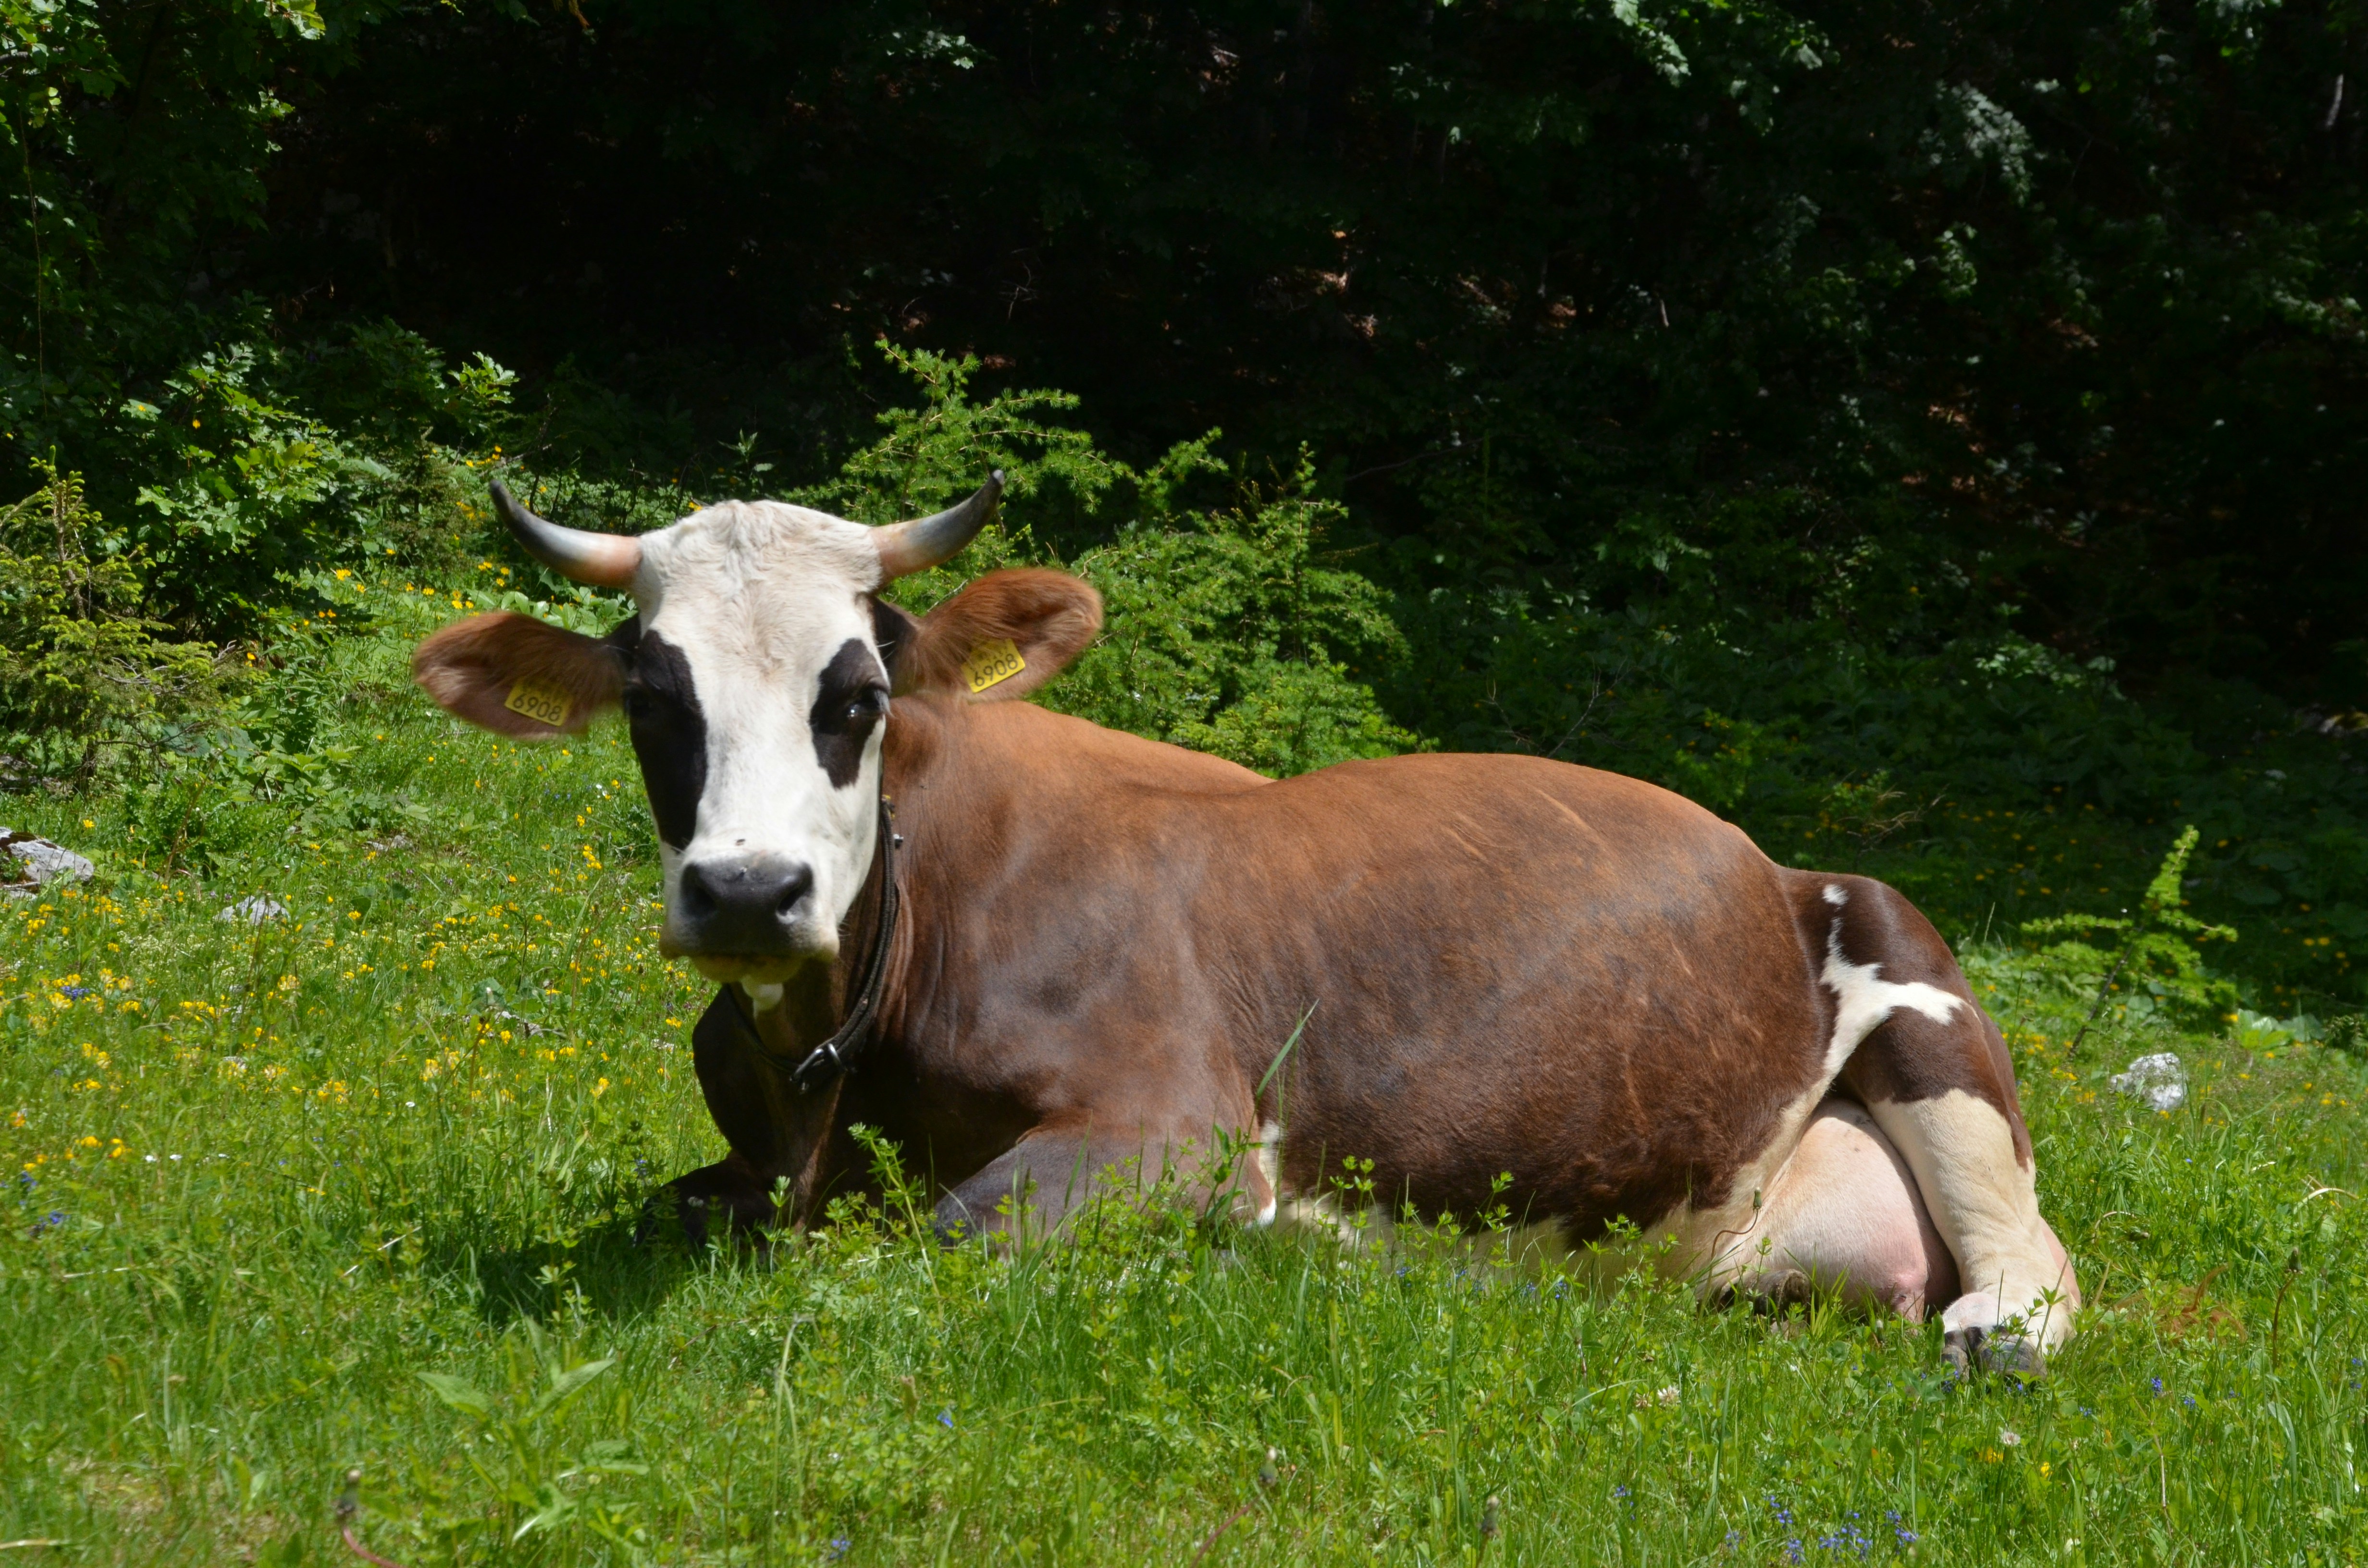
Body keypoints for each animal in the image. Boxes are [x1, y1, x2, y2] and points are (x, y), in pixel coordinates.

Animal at [412, 474, 2080, 1370]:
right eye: (653, 700)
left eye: (859, 694)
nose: (748, 892)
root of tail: (1761, 853)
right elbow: (682, 1207)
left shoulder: (1172, 1124)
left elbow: (948, 1232)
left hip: (1910, 970)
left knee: (2035, 1270)